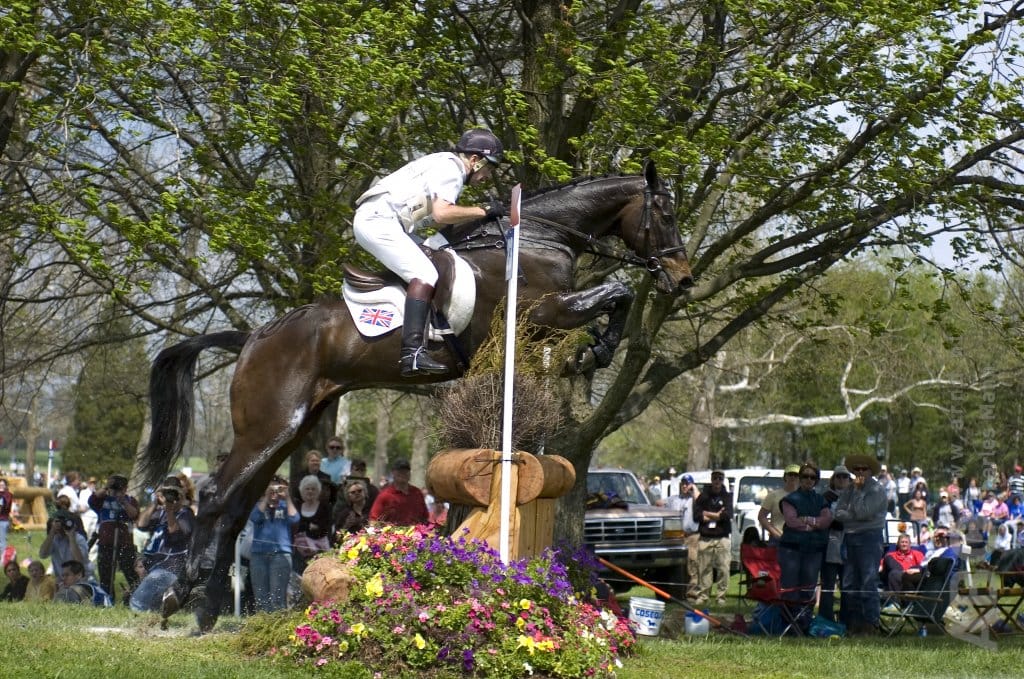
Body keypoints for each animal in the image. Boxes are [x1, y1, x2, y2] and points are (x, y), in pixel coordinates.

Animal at [139, 159, 692, 630]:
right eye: (665, 215)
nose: (683, 279)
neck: (538, 238)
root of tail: (252, 337)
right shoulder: (542, 312)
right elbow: (617, 293)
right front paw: (597, 350)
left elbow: (613, 300)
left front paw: (592, 352)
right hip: (269, 425)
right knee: (215, 496)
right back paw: (179, 595)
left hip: (289, 431)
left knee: (237, 506)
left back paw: (205, 609)